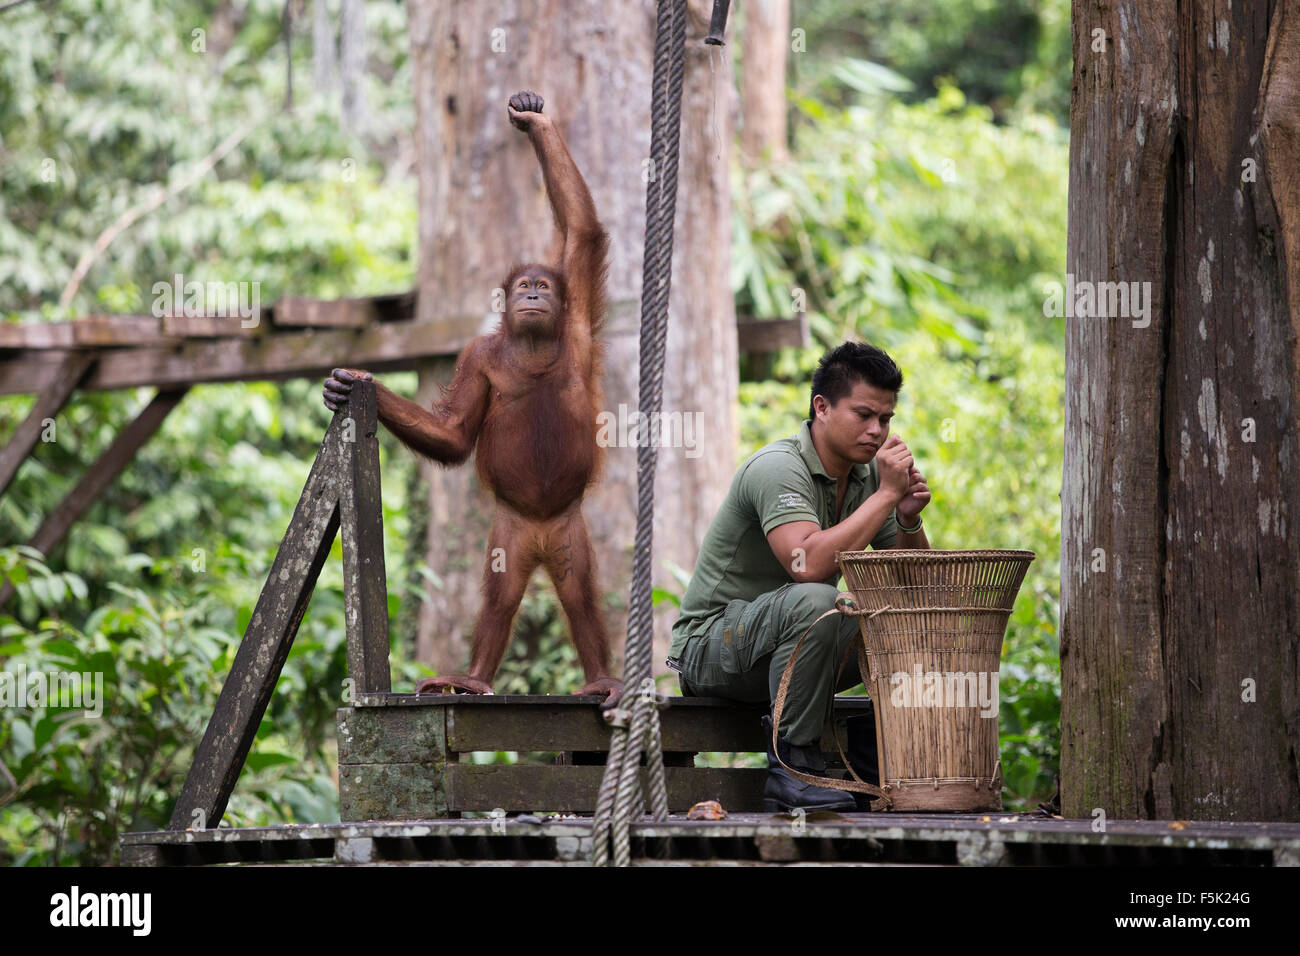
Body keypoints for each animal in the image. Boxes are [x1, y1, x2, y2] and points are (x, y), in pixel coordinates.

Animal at [323, 91, 623, 708]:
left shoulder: (577, 313)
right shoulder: (476, 356)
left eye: (545, 286)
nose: (531, 294)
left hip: (567, 529)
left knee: (579, 593)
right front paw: (362, 386)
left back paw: (601, 679)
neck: (531, 342)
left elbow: (582, 232)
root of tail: (538, 534)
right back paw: (473, 678)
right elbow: (457, 430)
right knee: (500, 597)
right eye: (523, 287)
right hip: (510, 533)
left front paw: (535, 121)